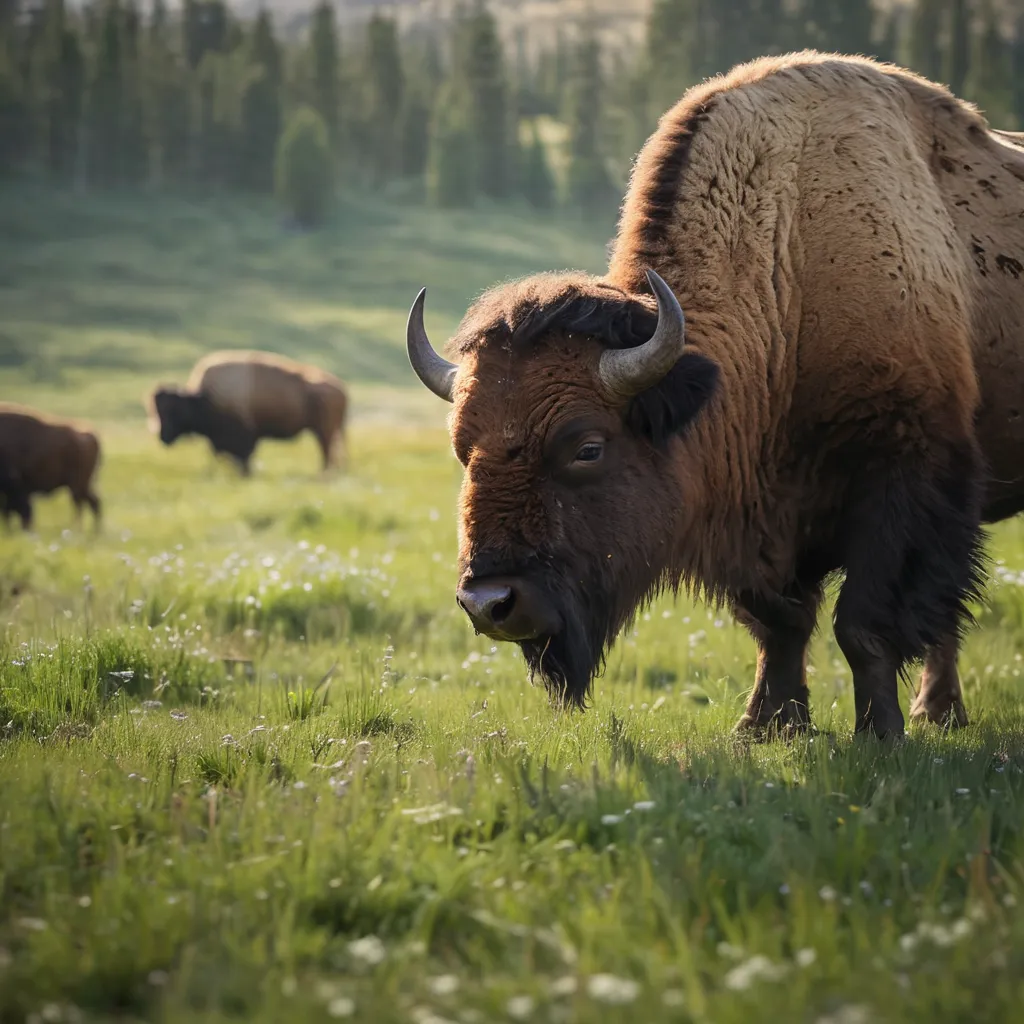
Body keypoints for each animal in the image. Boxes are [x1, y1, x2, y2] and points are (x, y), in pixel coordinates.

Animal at [148, 351, 348, 475]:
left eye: (174, 409)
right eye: (157, 410)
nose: (162, 436)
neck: (203, 398)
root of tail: (341, 388)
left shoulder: (243, 439)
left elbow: (244, 459)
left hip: (324, 432)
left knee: (327, 454)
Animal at [406, 52, 1024, 740]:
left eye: (588, 447)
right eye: (463, 449)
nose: (489, 603)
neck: (789, 266)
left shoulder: (905, 483)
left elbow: (863, 628)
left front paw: (878, 733)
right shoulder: (760, 519)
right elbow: (780, 626)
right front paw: (766, 725)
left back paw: (935, 712)